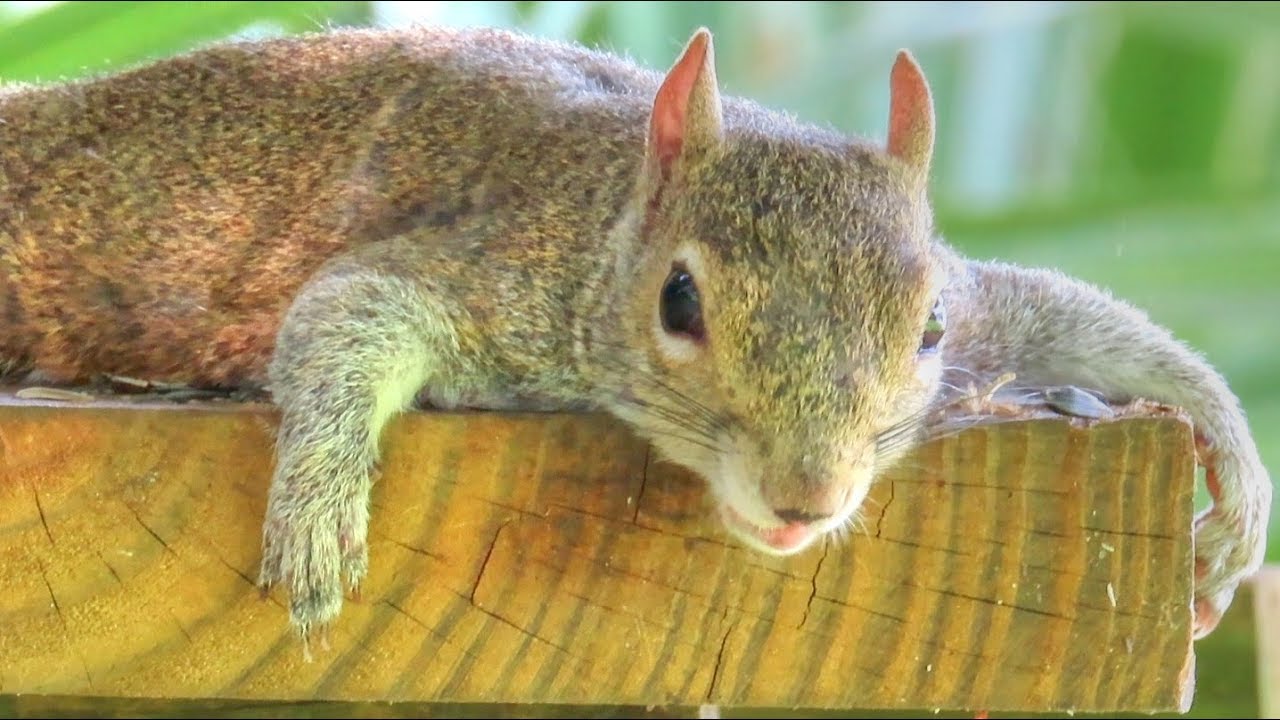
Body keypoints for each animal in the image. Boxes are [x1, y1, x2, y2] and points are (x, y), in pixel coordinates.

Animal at [0, 25, 1270, 649]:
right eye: (678, 305)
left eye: (929, 329)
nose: (803, 501)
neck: (612, 205)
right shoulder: (490, 271)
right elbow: (345, 318)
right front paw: (315, 521)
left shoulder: (985, 307)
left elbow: (1074, 313)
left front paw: (1231, 484)